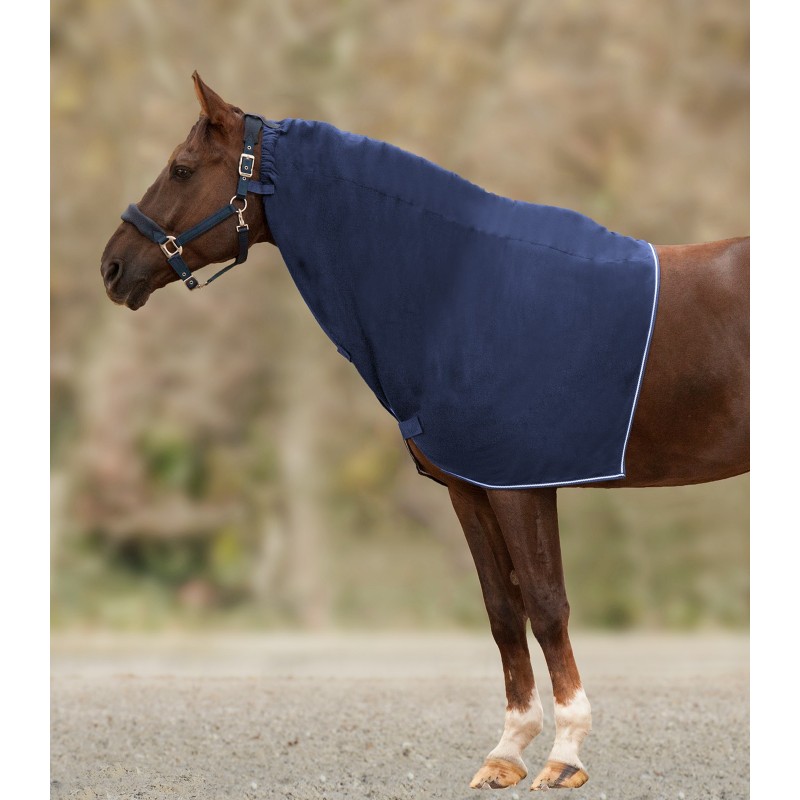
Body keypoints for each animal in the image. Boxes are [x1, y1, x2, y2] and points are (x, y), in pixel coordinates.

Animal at [99, 73, 749, 792]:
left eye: (183, 168)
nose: (112, 268)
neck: (459, 298)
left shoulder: (520, 486)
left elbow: (547, 606)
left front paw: (565, 755)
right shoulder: (468, 489)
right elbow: (502, 612)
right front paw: (507, 752)